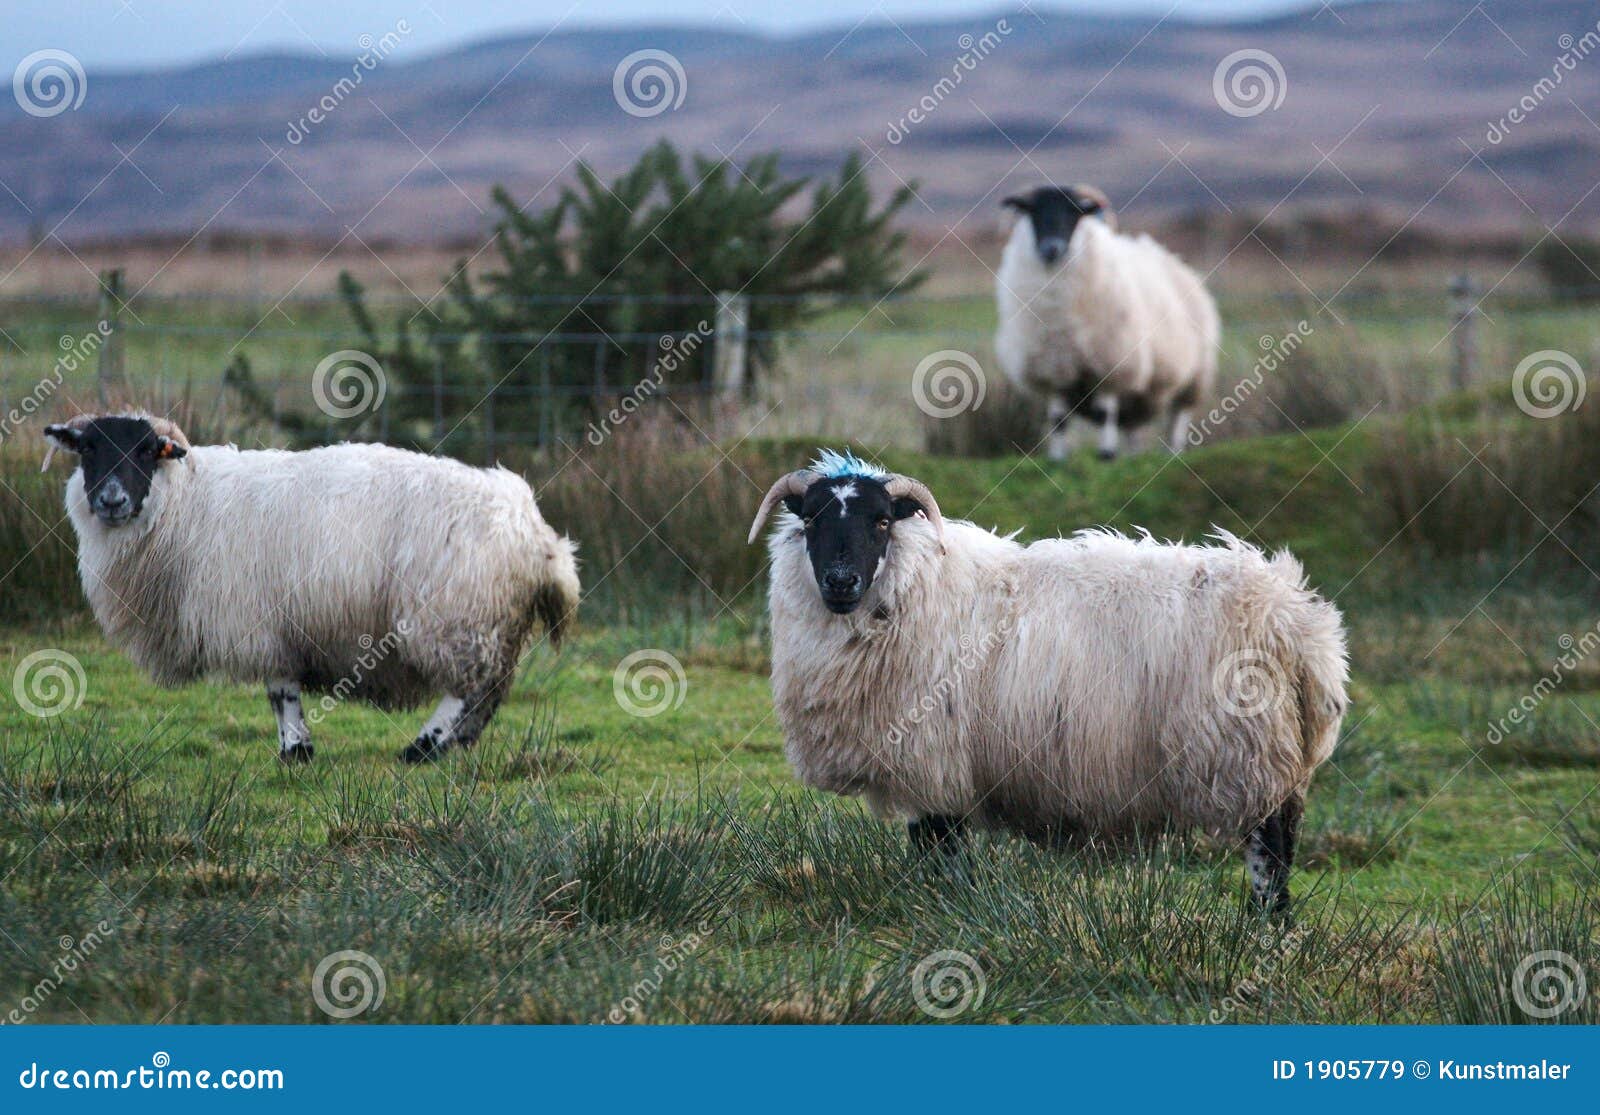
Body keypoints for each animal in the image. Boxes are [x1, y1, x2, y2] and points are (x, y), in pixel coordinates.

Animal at [42, 412, 580, 765]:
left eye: (146, 450)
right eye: (88, 448)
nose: (112, 500)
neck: (187, 502)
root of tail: (536, 533)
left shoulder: (261, 619)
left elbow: (280, 691)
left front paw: (295, 750)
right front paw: (296, 748)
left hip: (453, 615)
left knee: (468, 687)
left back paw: (424, 746)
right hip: (496, 623)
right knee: (492, 690)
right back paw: (458, 743)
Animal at [747, 450, 1347, 914]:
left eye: (880, 522)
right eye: (812, 520)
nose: (840, 581)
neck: (921, 585)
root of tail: (1299, 624)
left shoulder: (932, 757)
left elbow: (938, 847)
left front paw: (941, 906)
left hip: (1245, 749)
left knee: (1271, 848)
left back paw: (1264, 928)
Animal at [995, 184, 1220, 460]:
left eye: (1074, 212)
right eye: (1033, 211)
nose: (1051, 248)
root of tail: (1173, 258)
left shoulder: (1113, 362)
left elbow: (1104, 415)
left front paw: (1106, 455)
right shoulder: (1054, 368)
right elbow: (1058, 420)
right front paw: (1057, 459)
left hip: (1195, 376)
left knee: (1177, 419)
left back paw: (1172, 453)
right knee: (1132, 425)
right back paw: (1133, 457)